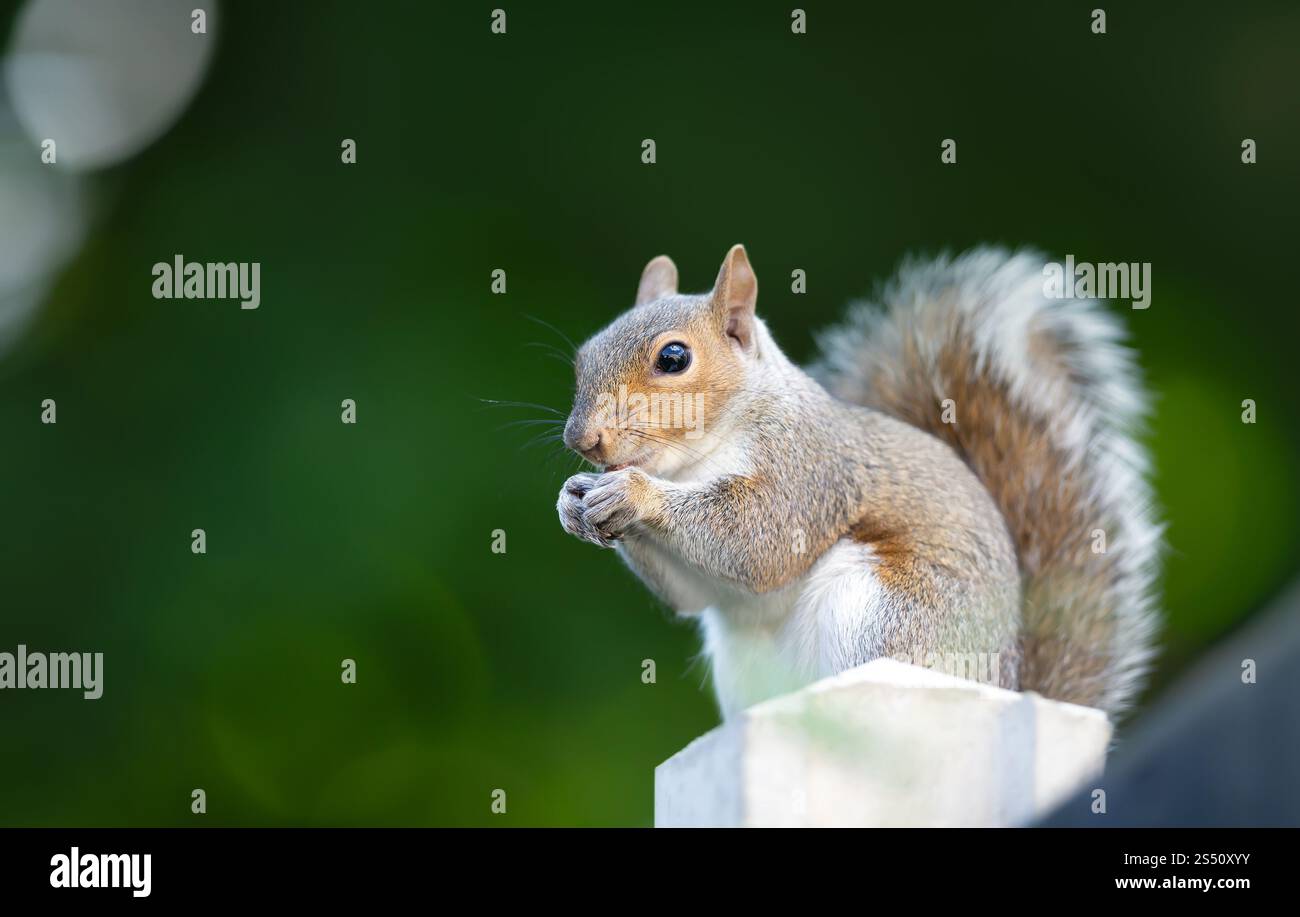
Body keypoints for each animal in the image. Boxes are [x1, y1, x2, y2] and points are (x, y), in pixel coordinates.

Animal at [556, 244, 1160, 720]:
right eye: (583, 358)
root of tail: (1008, 688)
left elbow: (760, 543)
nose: (582, 439)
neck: (690, 463)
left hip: (885, 611)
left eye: (674, 357)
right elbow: (691, 594)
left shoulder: (808, 470)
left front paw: (634, 494)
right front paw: (573, 500)